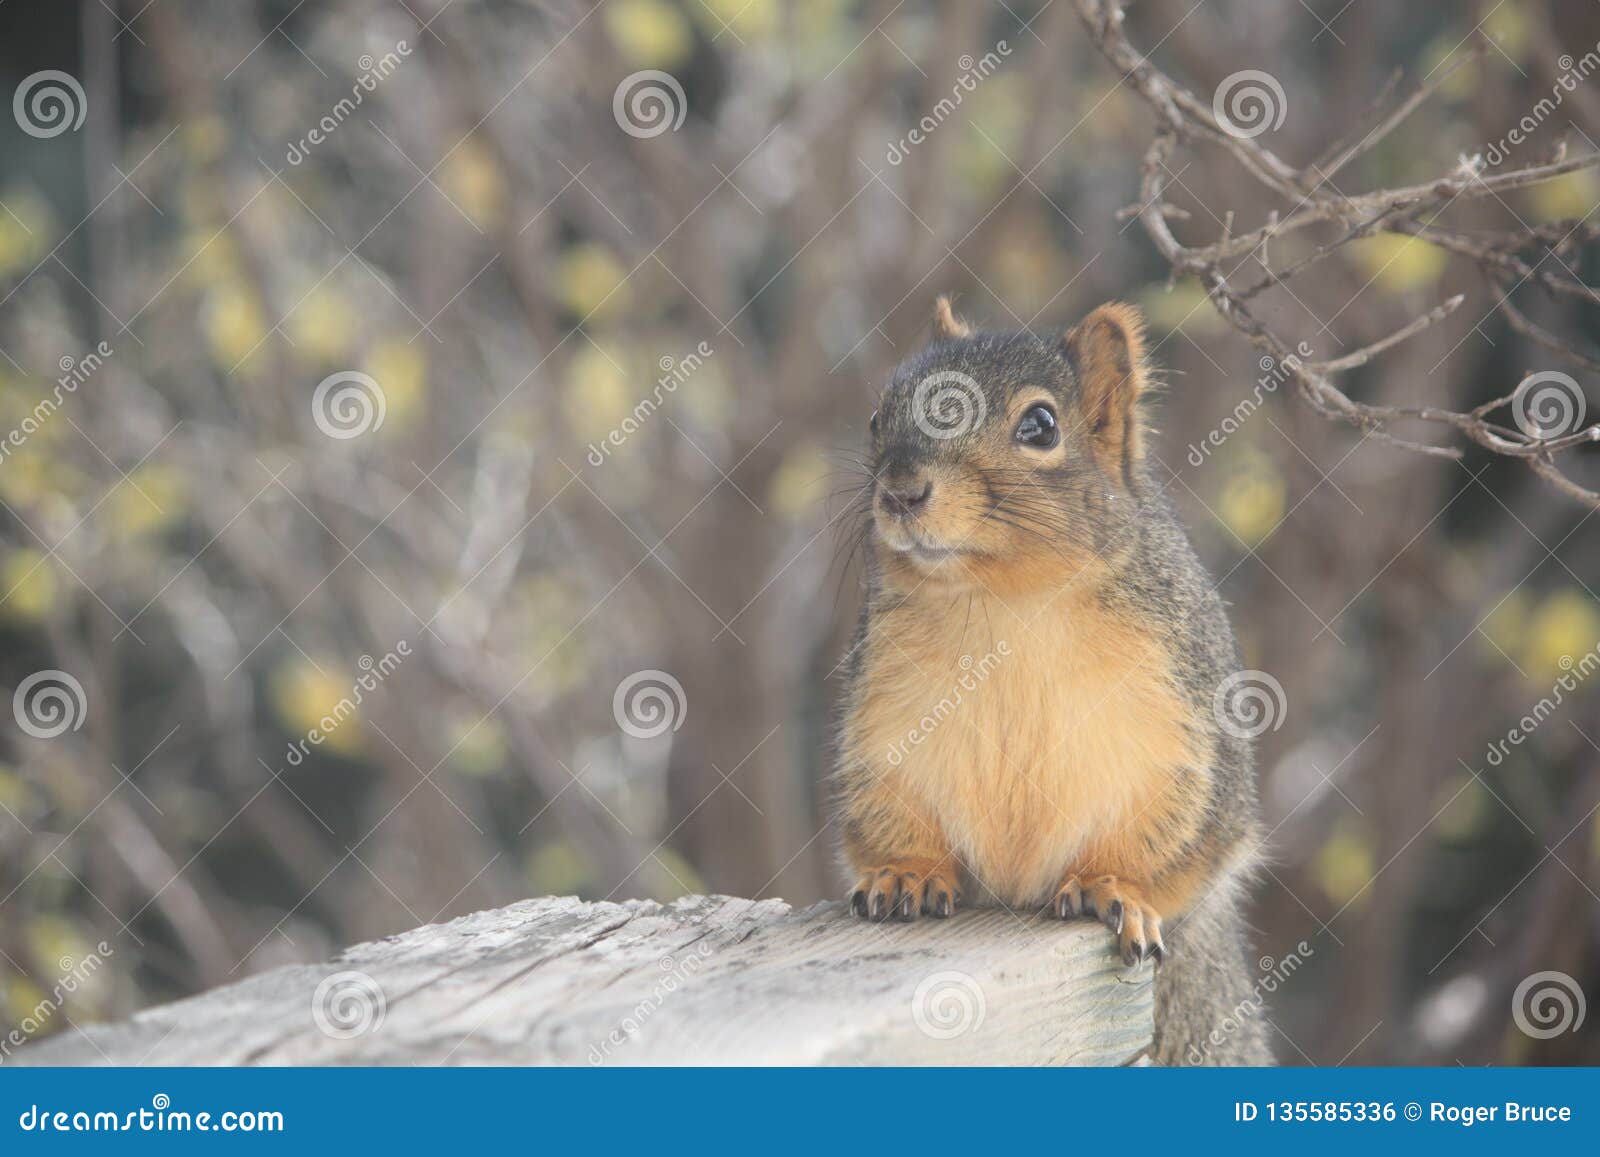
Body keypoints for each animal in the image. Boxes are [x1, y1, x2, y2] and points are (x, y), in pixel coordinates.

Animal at [834, 295, 1271, 1066]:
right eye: (878, 417)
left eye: (1040, 425)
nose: (901, 490)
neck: (1005, 599)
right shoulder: (883, 721)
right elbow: (889, 810)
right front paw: (906, 870)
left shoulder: (1182, 736)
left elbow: (1177, 833)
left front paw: (1112, 884)